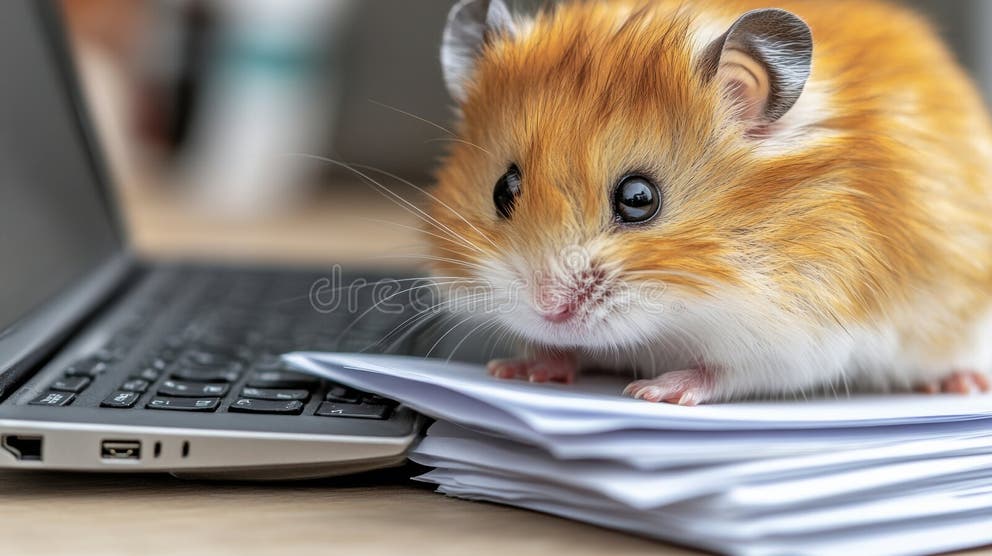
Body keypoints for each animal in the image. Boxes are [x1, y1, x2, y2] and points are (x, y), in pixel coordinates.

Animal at [425, 0, 992, 404]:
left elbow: (722, 371)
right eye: (503, 191)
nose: (548, 310)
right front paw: (518, 369)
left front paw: (652, 391)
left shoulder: (801, 337)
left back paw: (960, 385)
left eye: (638, 198)